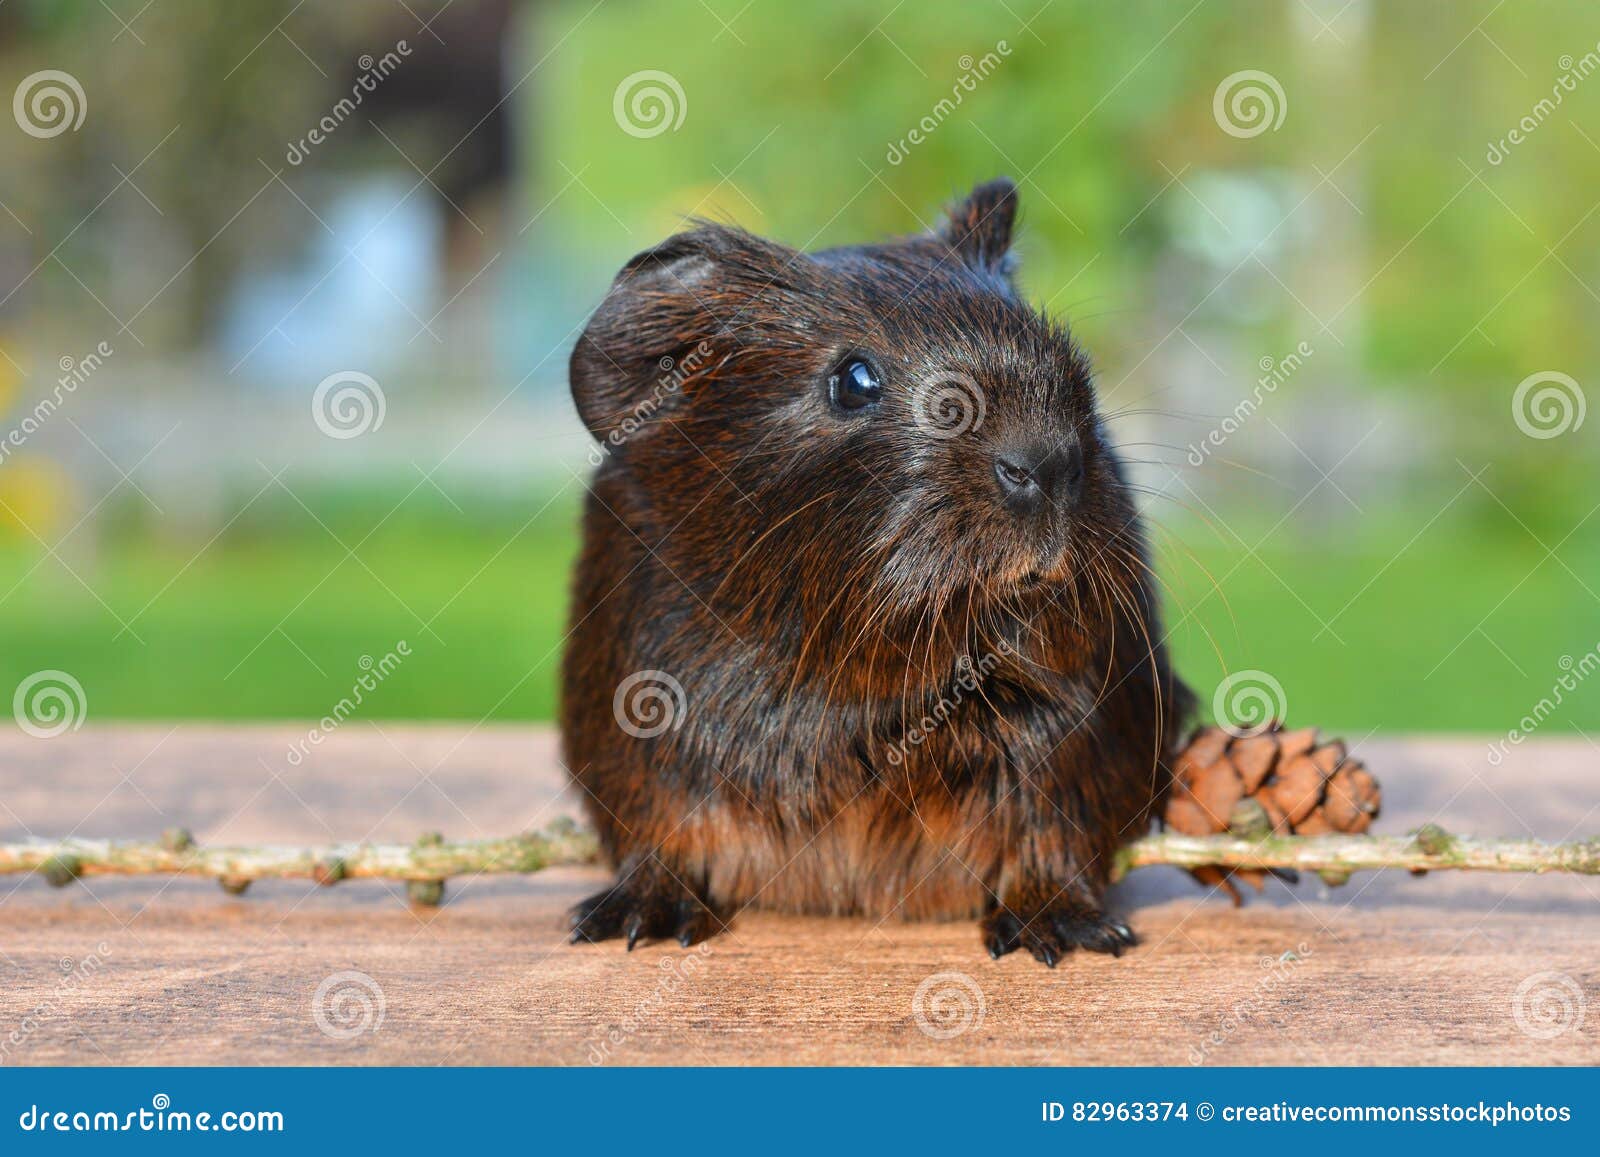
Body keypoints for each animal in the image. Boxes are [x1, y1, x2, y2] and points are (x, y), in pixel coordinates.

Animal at [561, 178, 1192, 966]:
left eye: (1054, 346)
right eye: (854, 380)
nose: (1046, 462)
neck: (864, 697)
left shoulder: (1079, 736)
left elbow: (1051, 833)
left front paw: (1065, 937)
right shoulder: (643, 730)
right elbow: (660, 836)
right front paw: (634, 922)